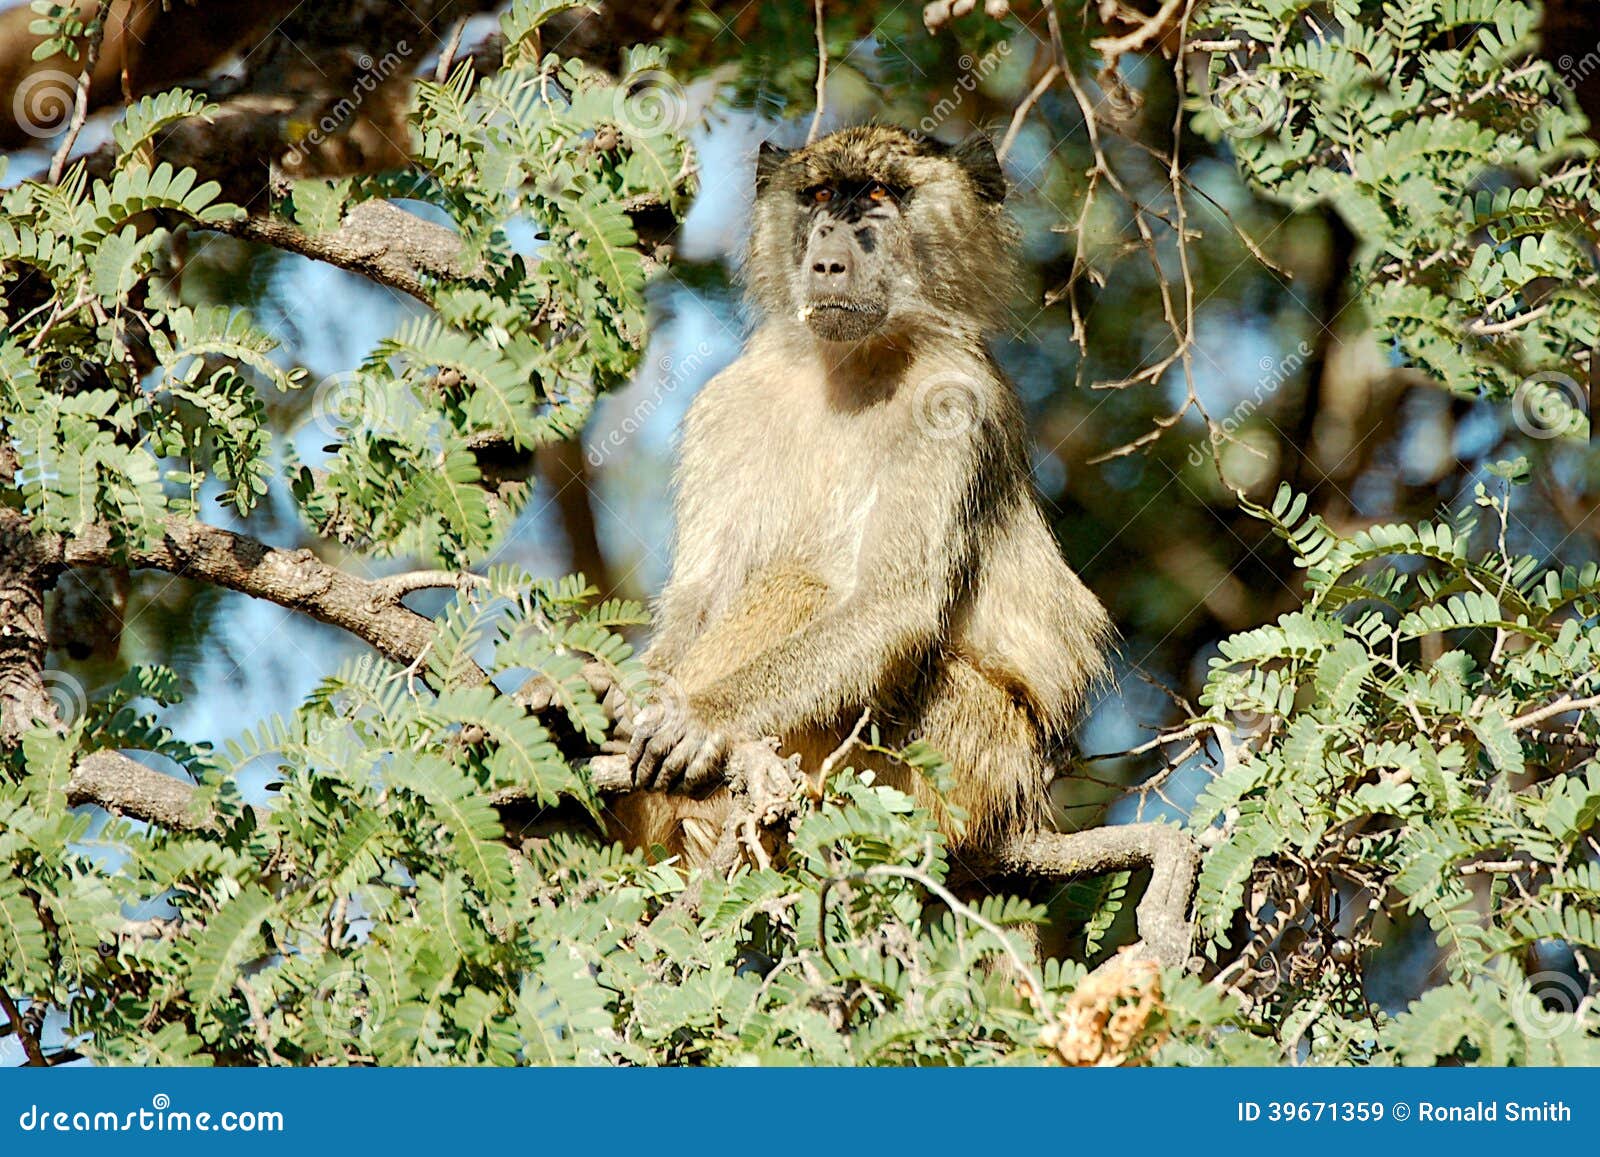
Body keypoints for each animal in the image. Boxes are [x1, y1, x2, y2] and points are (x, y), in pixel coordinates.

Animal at [606, 124, 1111, 865]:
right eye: (818, 196)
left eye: (876, 196)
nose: (828, 260)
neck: (849, 368)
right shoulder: (725, 404)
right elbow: (699, 597)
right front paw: (620, 701)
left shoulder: (953, 404)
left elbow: (891, 605)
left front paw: (699, 718)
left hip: (967, 754)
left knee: (801, 587)